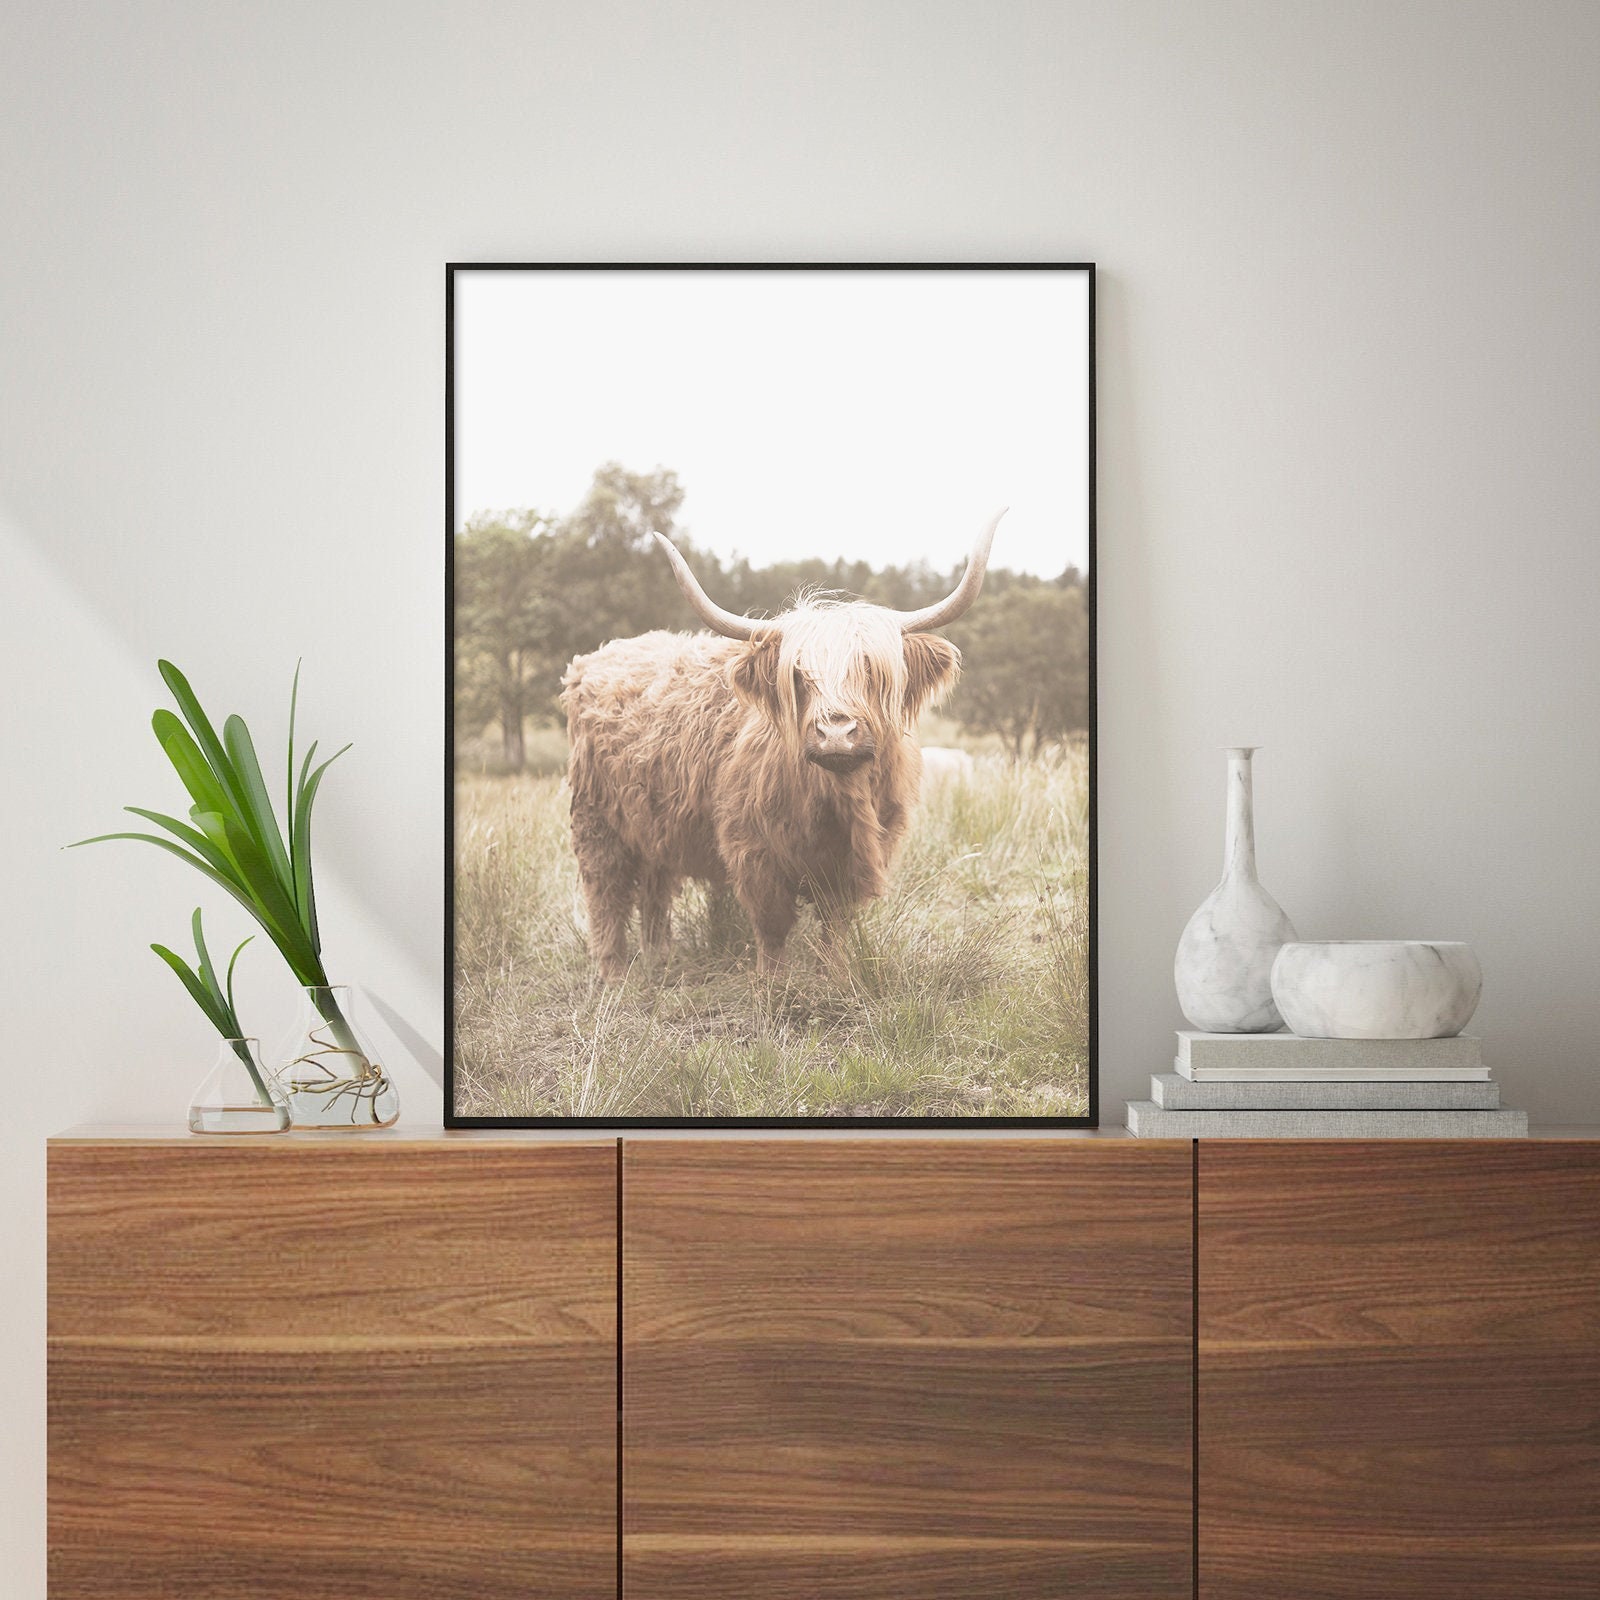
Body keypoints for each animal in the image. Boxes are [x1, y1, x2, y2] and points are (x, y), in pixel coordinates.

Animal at [561, 509, 1006, 980]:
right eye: (798, 674)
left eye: (870, 669)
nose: (835, 733)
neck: (836, 802)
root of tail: (597, 656)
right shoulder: (754, 853)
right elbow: (772, 926)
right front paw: (773, 985)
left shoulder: (857, 859)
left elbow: (835, 926)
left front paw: (835, 976)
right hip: (596, 822)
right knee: (605, 895)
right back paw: (612, 975)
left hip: (654, 825)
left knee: (655, 890)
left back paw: (659, 961)